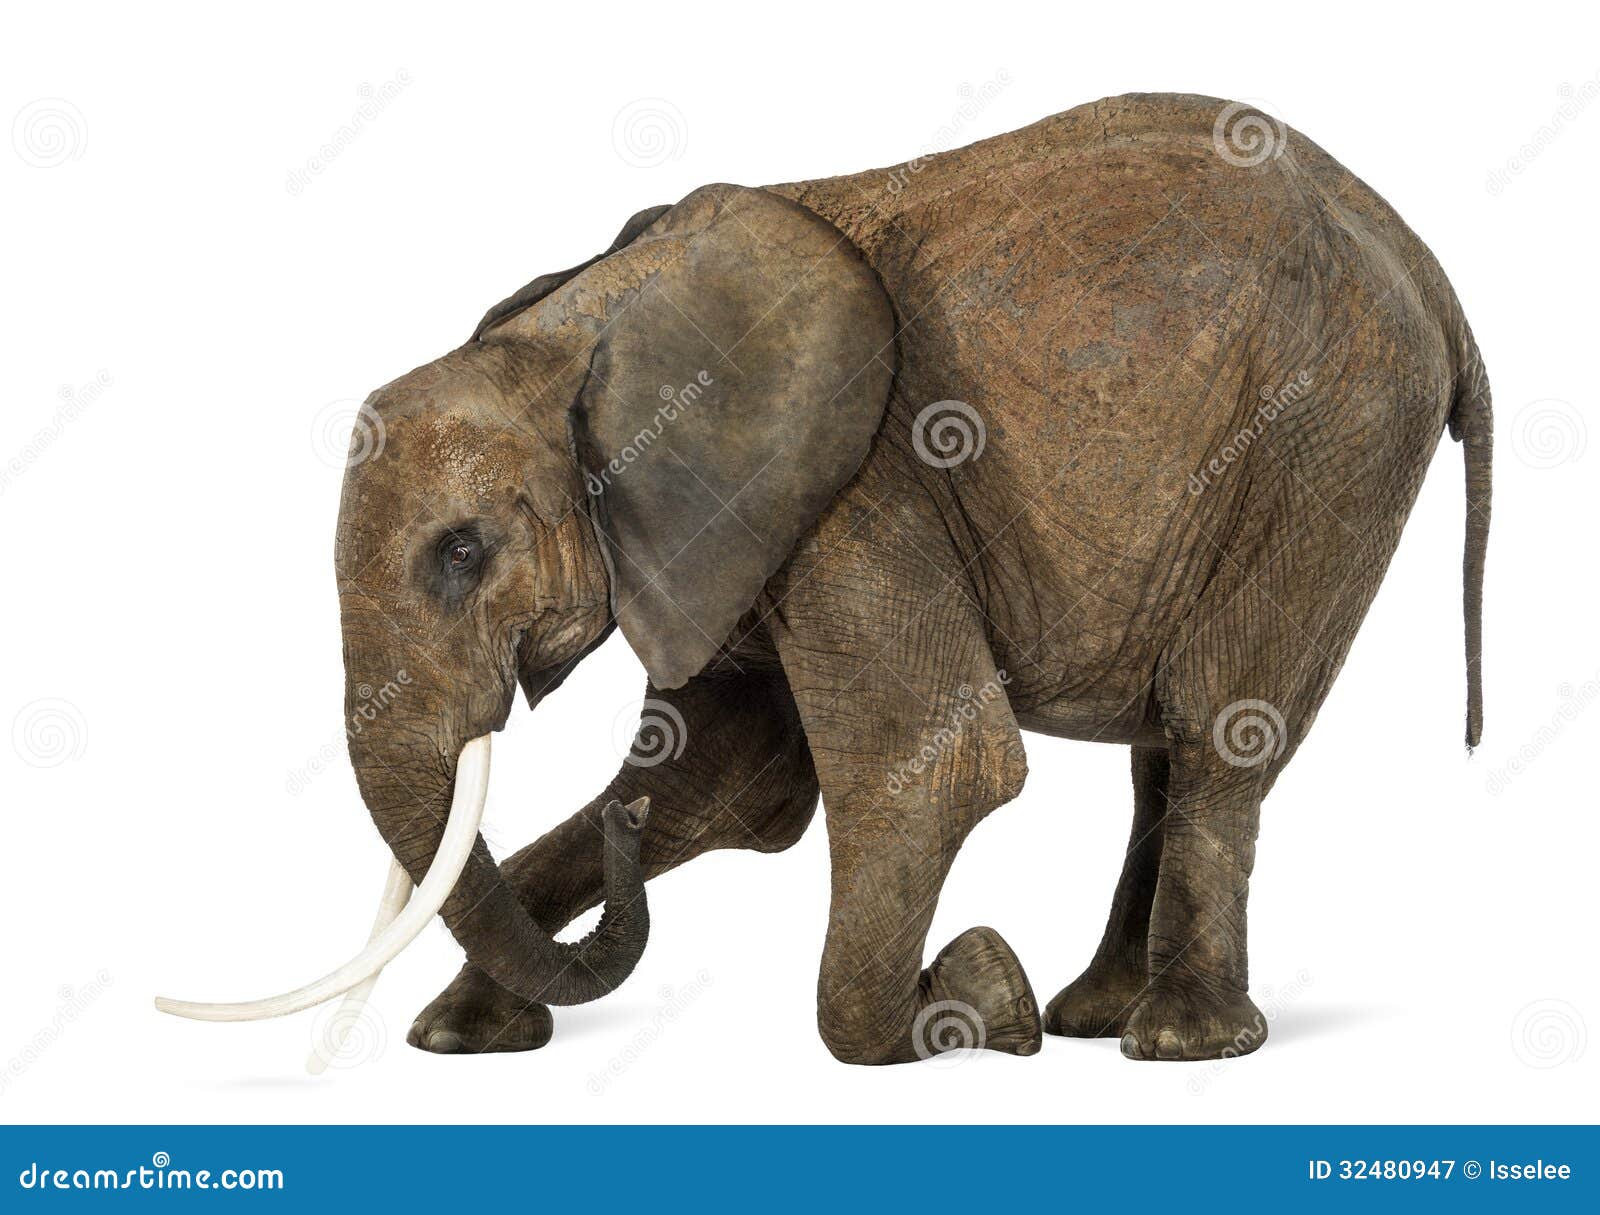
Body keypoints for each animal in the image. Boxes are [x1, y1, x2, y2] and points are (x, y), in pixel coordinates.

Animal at [161, 93, 1491, 1065]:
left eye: (460, 553)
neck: (576, 323)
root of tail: (1426, 265)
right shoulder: (728, 537)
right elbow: (722, 785)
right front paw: (462, 1036)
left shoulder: (862, 494)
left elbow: (934, 774)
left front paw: (972, 1001)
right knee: (1165, 742)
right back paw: (1094, 1017)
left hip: (1329, 436)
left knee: (1222, 724)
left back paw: (1168, 1043)